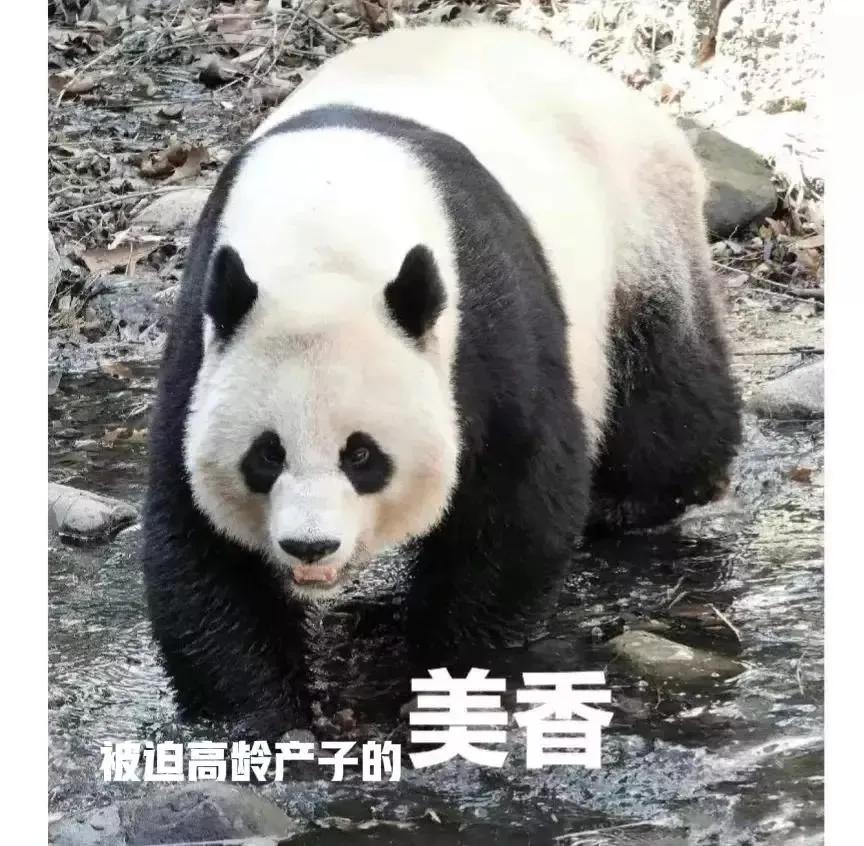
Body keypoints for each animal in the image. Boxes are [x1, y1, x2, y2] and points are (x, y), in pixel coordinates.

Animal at [142, 23, 741, 728]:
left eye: (362, 455)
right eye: (266, 455)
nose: (309, 546)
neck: (324, 223)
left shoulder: (485, 315)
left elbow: (516, 496)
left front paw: (448, 674)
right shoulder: (203, 333)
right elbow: (197, 536)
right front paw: (259, 714)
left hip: (638, 222)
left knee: (665, 373)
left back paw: (638, 498)